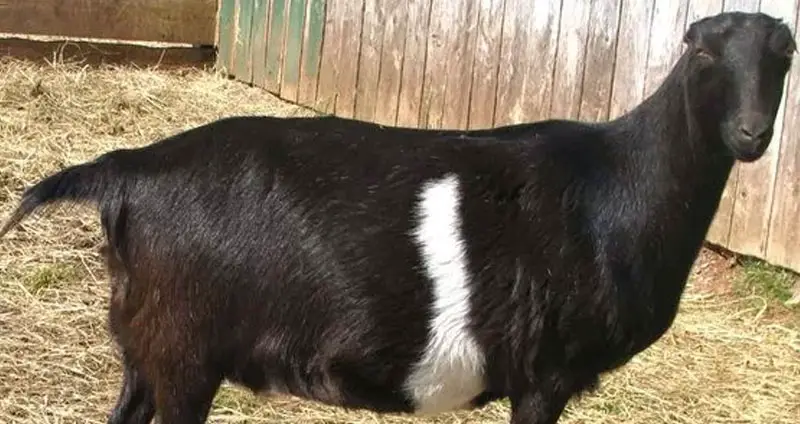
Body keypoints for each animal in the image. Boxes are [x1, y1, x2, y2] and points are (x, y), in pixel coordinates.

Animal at [0, 11, 795, 424]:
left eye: (785, 54)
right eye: (703, 53)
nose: (752, 134)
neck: (613, 185)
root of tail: (124, 171)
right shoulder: (547, 371)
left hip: (145, 347)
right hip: (184, 352)